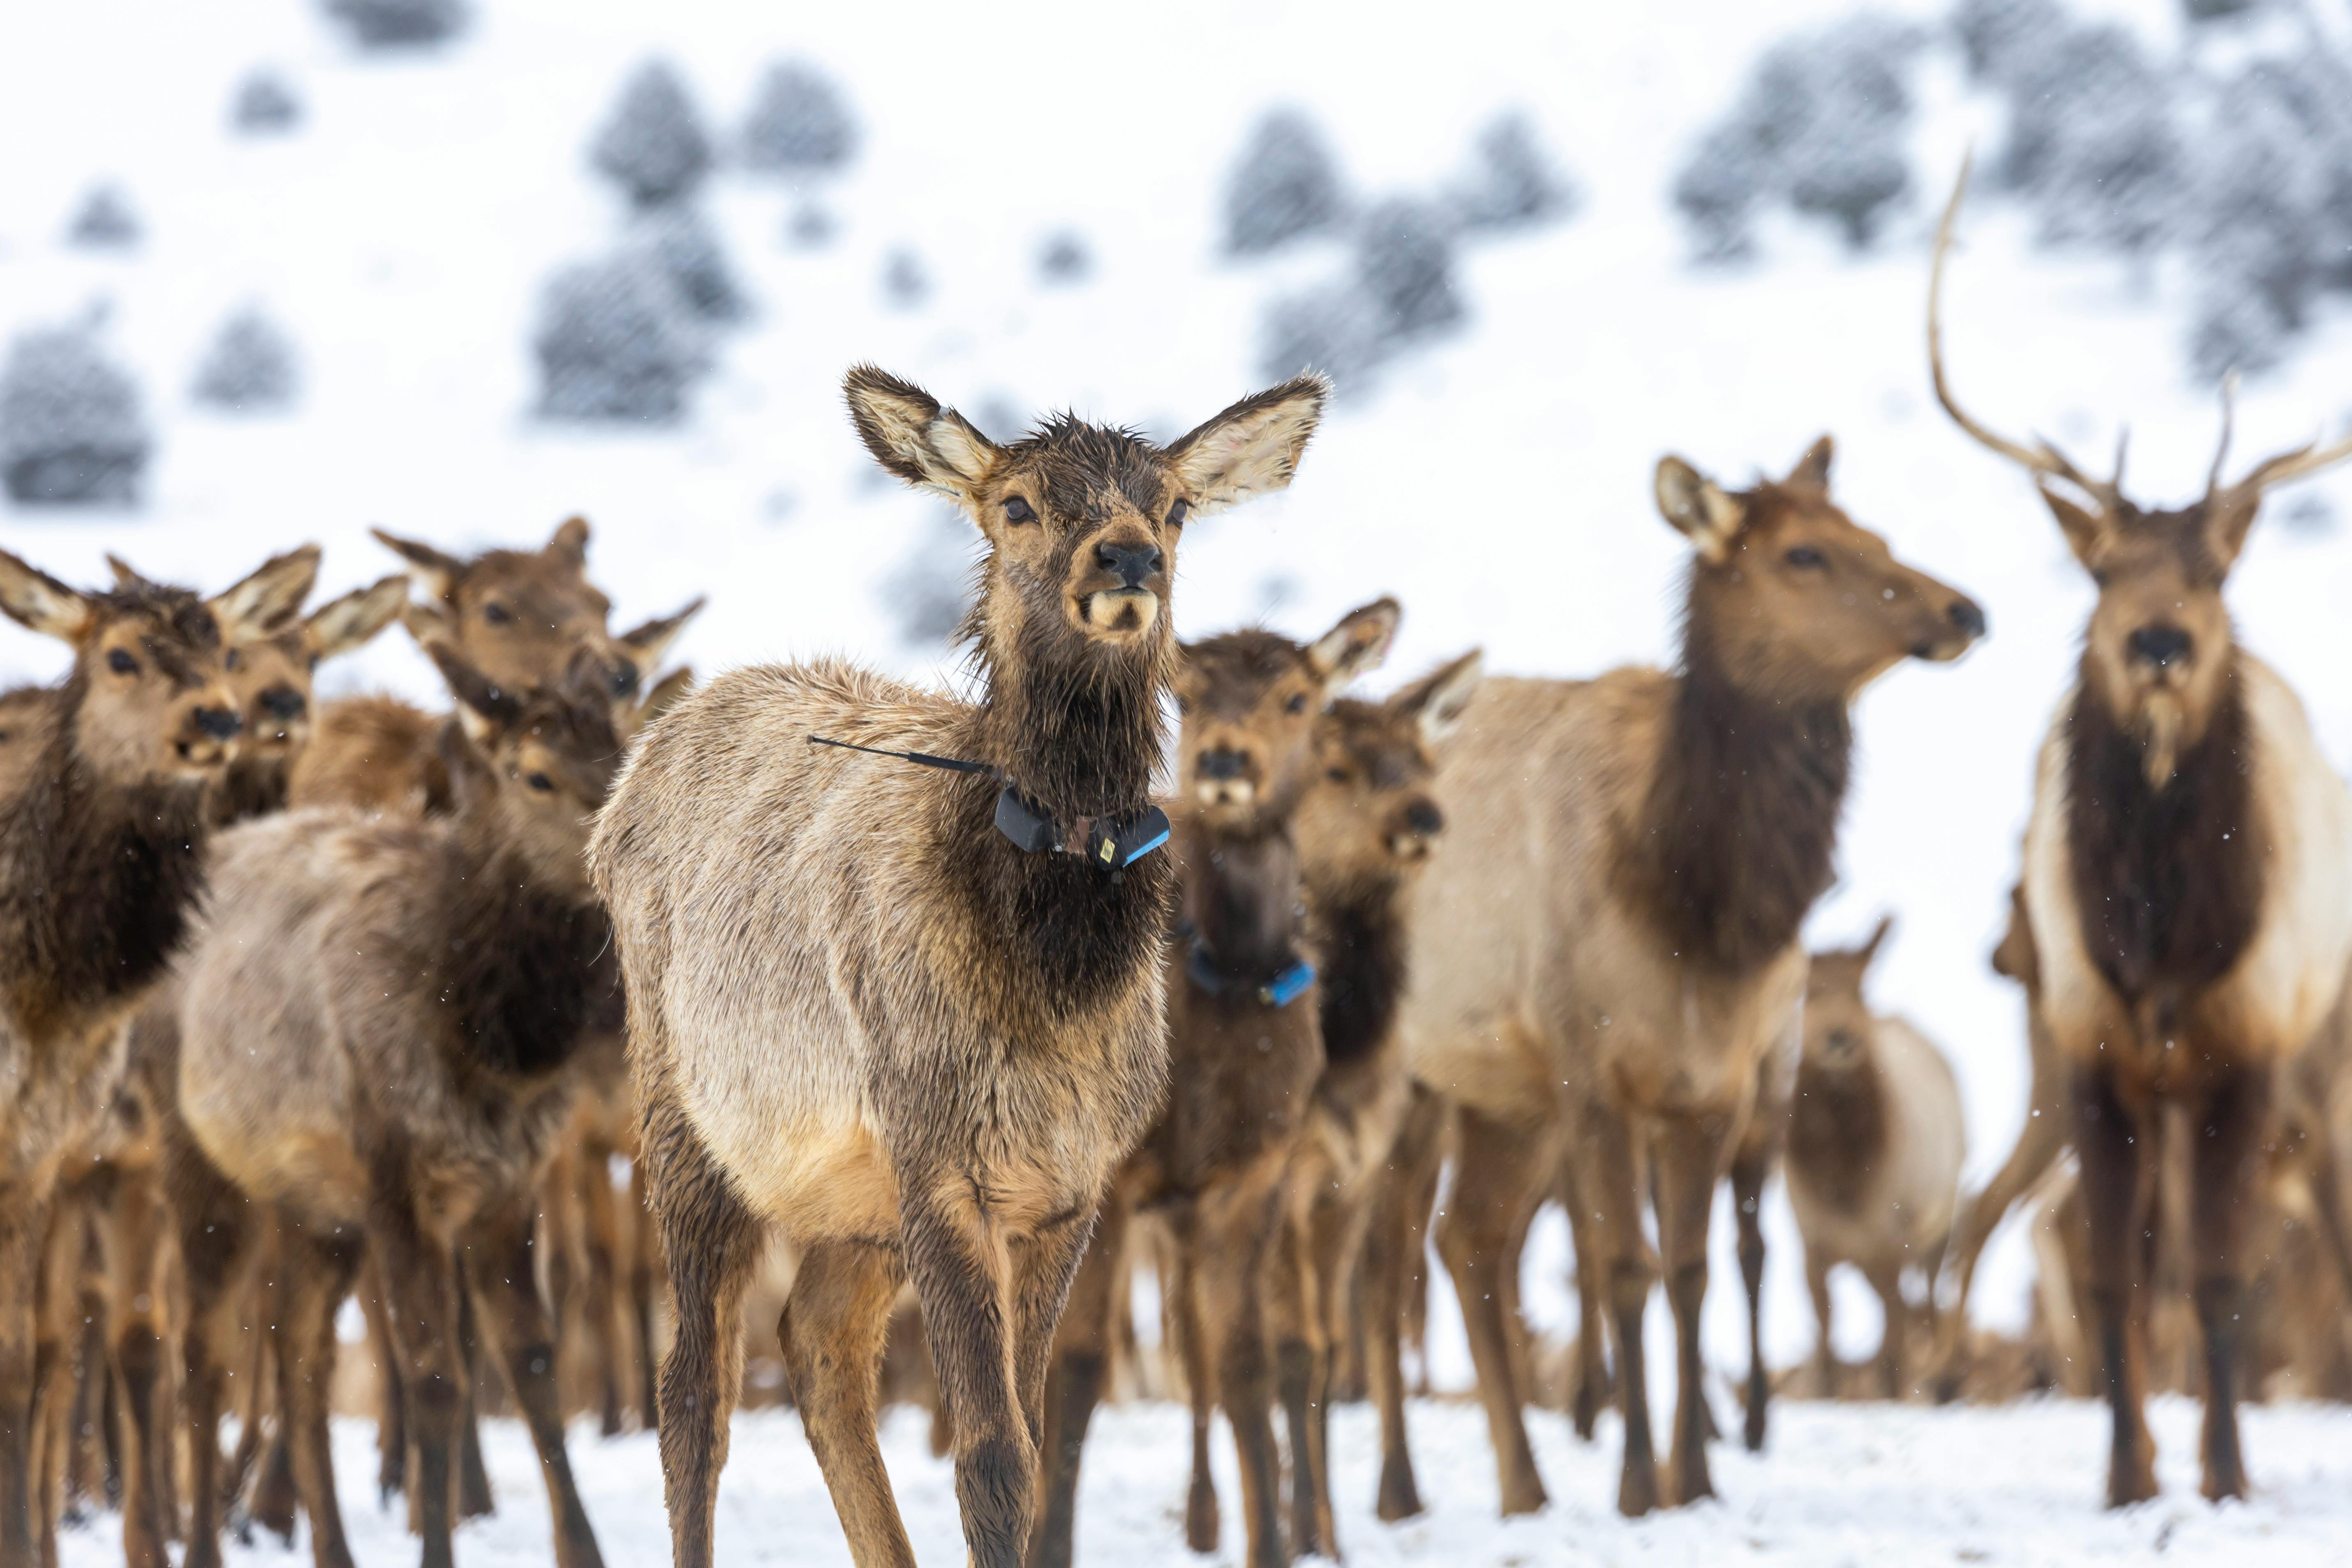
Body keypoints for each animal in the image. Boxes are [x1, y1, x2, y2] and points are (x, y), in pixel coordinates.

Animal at [171, 643, 624, 1568]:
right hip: (200, 1159)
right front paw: (437, 1540)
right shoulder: (395, 1182)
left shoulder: (506, 1183)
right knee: (199, 1353)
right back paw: (203, 1542)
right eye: (534, 772)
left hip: (315, 1206)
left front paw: (582, 1548)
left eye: (621, 744)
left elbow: (532, 1362)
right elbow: (435, 1377)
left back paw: (328, 1544)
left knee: (298, 1356)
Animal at [589, 365, 1329, 1568]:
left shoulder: (1069, 1185)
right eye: (1017, 503)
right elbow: (992, 1454)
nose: (1126, 557)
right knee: (692, 1394)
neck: (1054, 977)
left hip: (852, 1193)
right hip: (688, 1119)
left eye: (1172, 504)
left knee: (819, 1347)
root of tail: (635, 764)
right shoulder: (940, 1153)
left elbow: (1029, 1429)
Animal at [1024, 601, 1402, 1568]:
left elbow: (1245, 1366)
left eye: (1298, 695)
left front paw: (1272, 1539)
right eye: (1187, 693)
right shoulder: (1112, 1177)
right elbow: (1077, 1368)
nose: (1225, 762)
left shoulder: (1250, 1177)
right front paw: (1049, 1542)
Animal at [1784, 918, 1966, 1401]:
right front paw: (1828, 1390)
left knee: (1927, 1300)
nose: (1840, 1038)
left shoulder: (1889, 1240)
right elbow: (1826, 1336)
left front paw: (1893, 1389)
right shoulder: (1812, 1244)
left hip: (1936, 1227)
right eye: (1807, 991)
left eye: (1859, 989)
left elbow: (1893, 1336)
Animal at [1930, 155, 2352, 1504]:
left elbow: (2219, 1268)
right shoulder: (2091, 1049)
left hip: (2320, 1058)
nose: (2157, 641)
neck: (2163, 930)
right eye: (2101, 570)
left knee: (2322, 1223)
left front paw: (2224, 1470)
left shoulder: (2244, 1049)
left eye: (2211, 571)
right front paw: (2128, 1470)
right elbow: (2120, 1266)